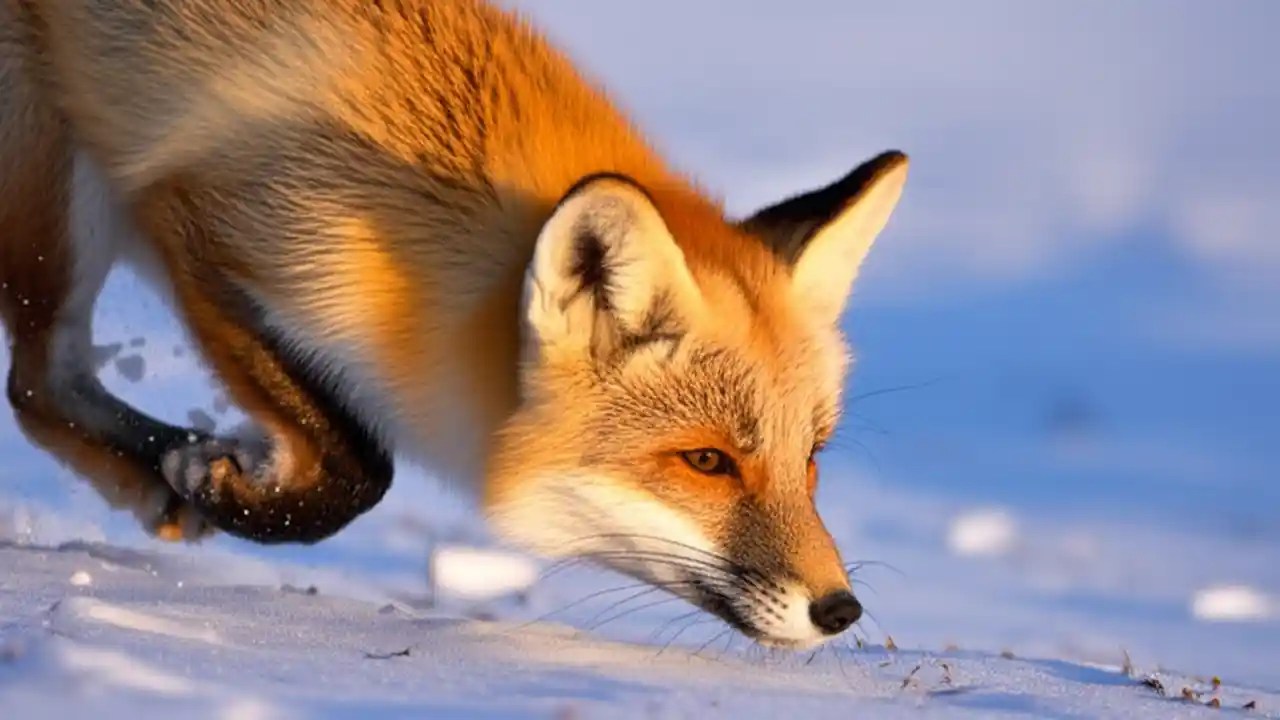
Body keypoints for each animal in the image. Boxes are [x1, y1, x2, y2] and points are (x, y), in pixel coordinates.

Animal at [0, 0, 909, 648]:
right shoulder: (202, 225)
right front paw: (228, 484)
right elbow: (364, 466)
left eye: (811, 458)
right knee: (40, 384)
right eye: (708, 462)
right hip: (62, 190)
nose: (841, 610)